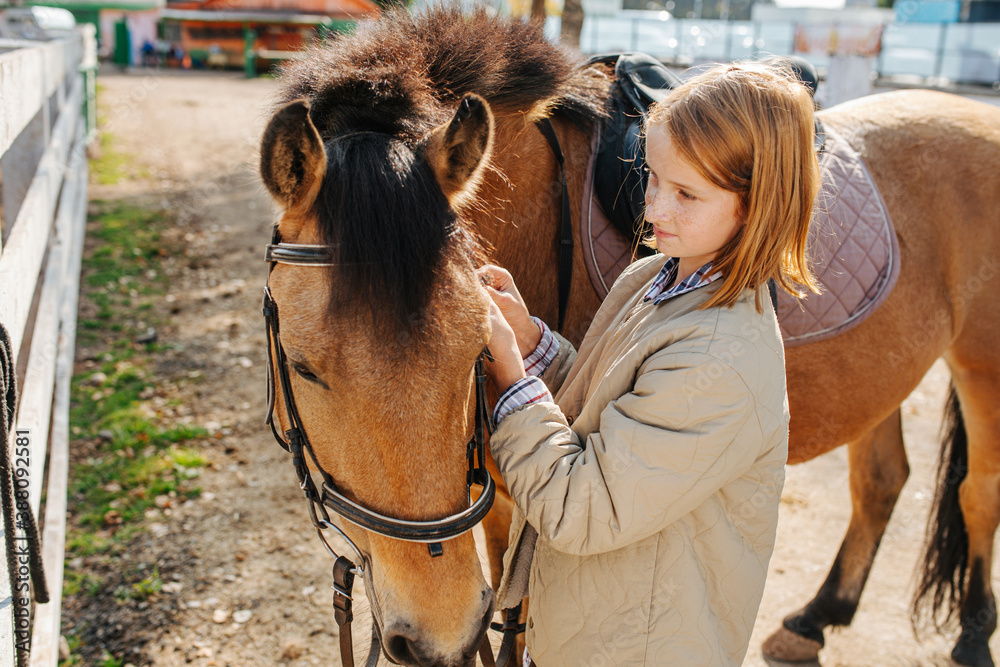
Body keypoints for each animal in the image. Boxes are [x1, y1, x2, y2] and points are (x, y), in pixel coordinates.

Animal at [258, 7, 1000, 666]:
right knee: (881, 482)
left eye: (472, 352)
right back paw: (817, 618)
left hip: (981, 372)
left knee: (977, 491)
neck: (540, 222)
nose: (438, 634)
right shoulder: (494, 508)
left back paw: (971, 634)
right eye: (302, 366)